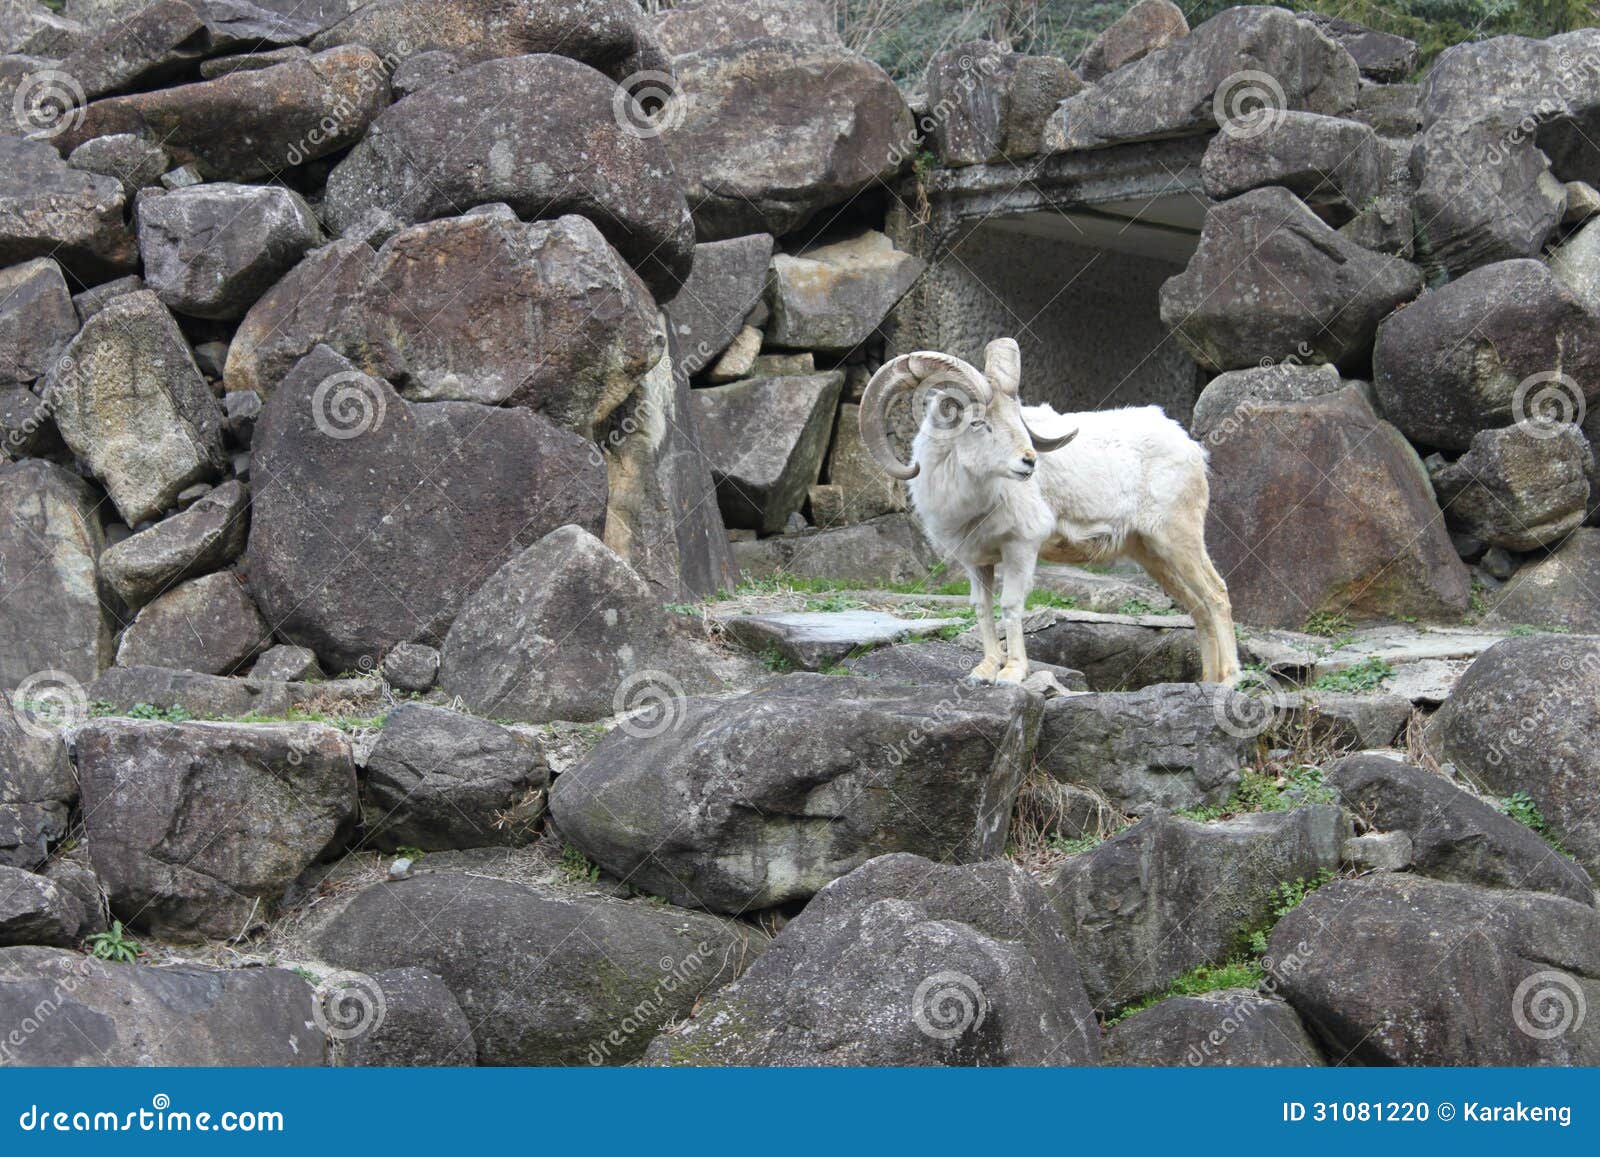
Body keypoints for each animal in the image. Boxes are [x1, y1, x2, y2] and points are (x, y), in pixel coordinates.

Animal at [858, 338, 1240, 686]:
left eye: (1017, 419)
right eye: (977, 423)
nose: (1029, 461)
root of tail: (1190, 447)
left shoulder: (1021, 548)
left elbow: (1011, 605)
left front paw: (1012, 674)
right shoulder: (975, 560)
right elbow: (982, 608)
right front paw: (984, 671)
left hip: (1179, 539)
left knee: (1216, 594)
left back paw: (1230, 680)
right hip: (1153, 554)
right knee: (1198, 607)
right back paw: (1208, 681)